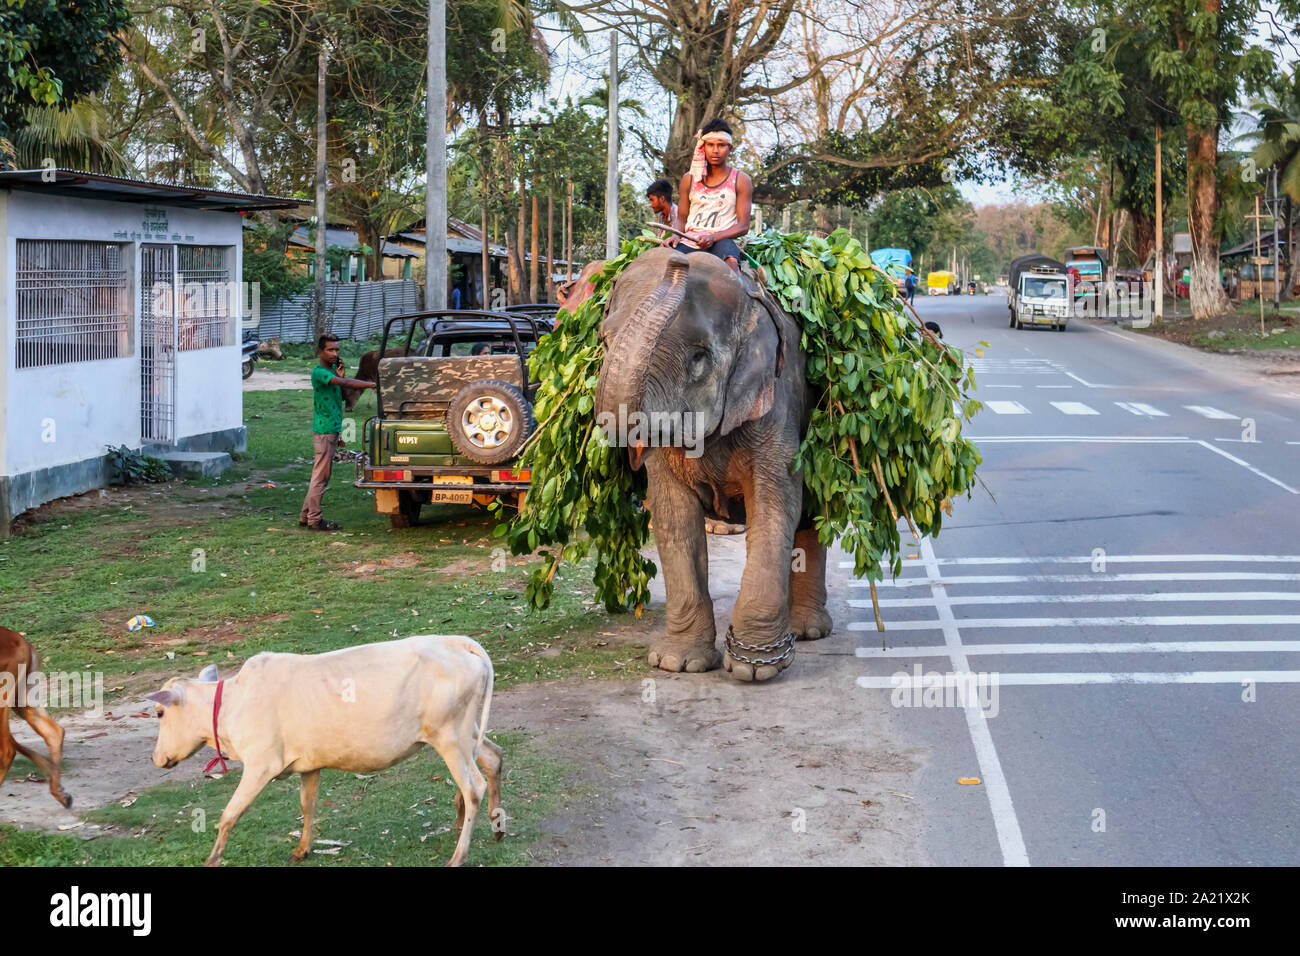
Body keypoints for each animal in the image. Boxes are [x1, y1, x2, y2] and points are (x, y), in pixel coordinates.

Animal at [593, 245, 832, 682]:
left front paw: (755, 668)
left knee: (813, 516)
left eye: (699, 358)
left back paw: (807, 631)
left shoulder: (775, 398)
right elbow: (674, 517)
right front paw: (677, 663)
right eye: (604, 340)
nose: (677, 262)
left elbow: (776, 505)